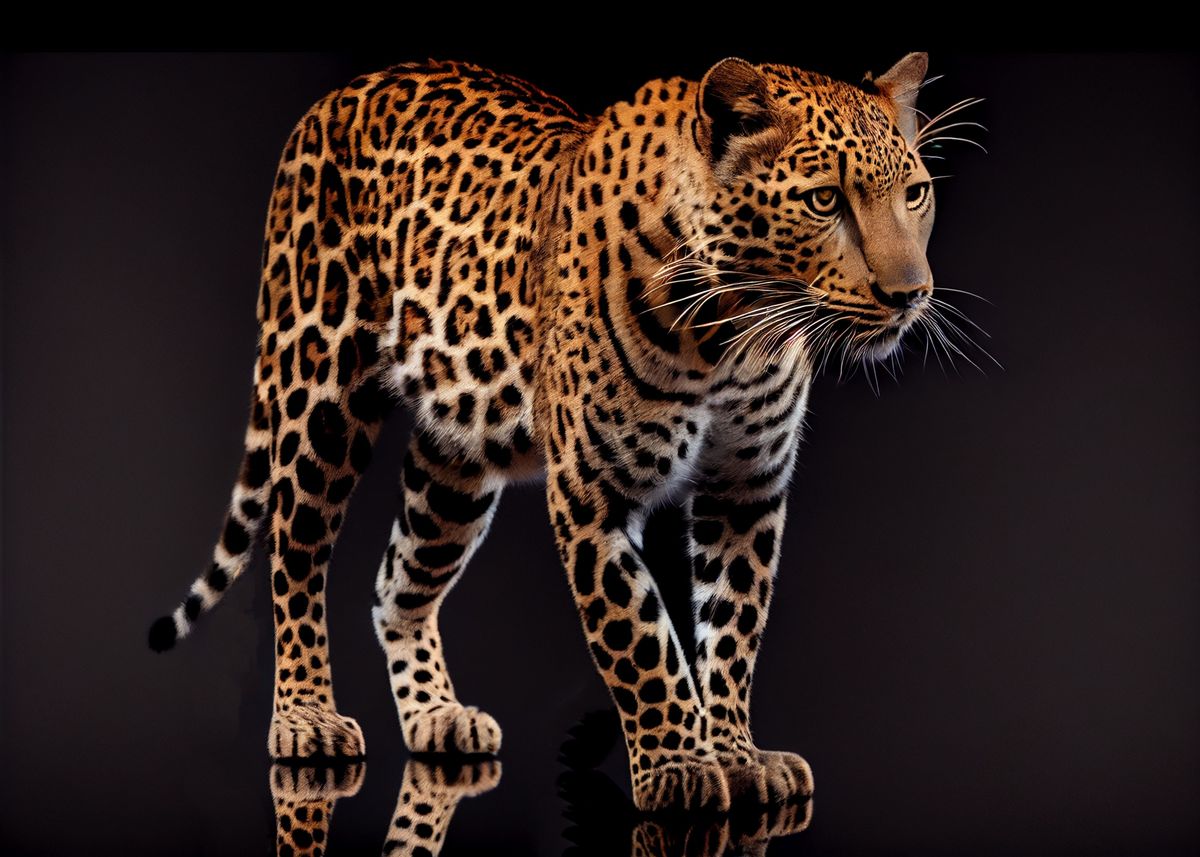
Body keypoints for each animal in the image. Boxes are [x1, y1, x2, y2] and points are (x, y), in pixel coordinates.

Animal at [149, 52, 940, 813]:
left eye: (916, 194)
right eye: (824, 200)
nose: (910, 294)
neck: (735, 331)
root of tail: (334, 98)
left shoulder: (745, 489)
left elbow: (734, 627)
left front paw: (737, 756)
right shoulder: (594, 496)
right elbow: (641, 640)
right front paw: (680, 768)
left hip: (456, 460)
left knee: (394, 581)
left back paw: (436, 714)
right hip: (316, 390)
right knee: (295, 554)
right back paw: (306, 718)